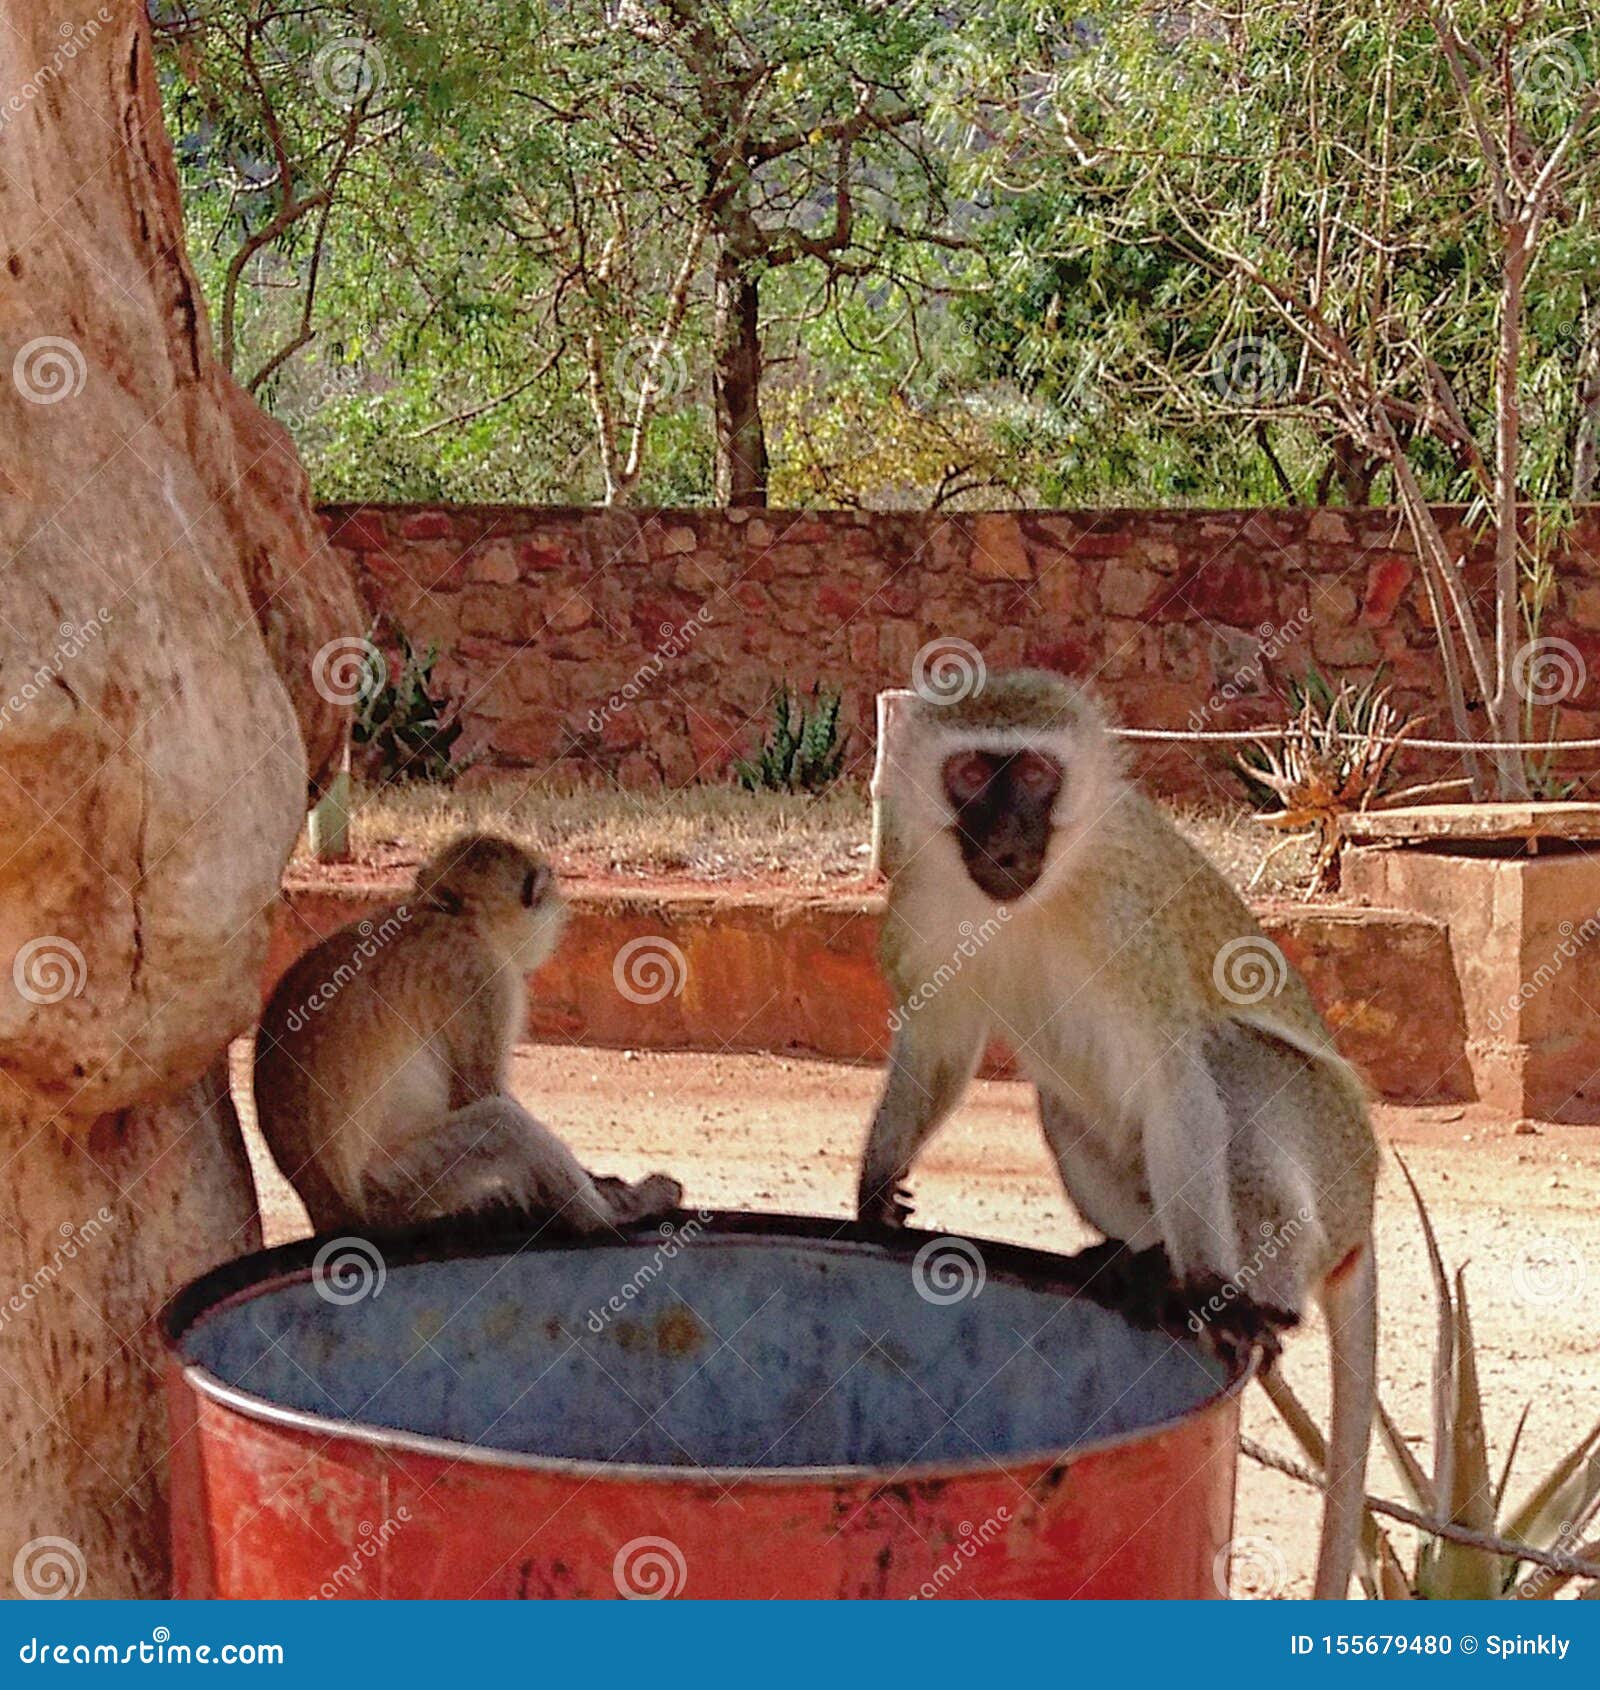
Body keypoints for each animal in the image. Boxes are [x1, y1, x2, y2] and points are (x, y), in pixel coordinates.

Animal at [254, 832, 683, 1235]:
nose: (557, 915)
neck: (458, 915)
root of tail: (339, 1214)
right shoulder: (485, 976)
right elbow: (479, 1092)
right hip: (395, 1186)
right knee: (501, 1125)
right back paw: (608, 1217)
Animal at [857, 670, 1378, 1600]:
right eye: (971, 774)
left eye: (1033, 774)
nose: (1005, 837)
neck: (1045, 892)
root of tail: (1369, 1205)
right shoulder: (922, 892)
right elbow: (939, 1043)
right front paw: (879, 1183)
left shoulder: (1134, 920)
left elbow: (1178, 1081)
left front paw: (1210, 1291)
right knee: (1065, 1107)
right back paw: (1135, 1262)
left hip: (1336, 1157)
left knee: (1229, 1059)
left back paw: (1253, 1296)